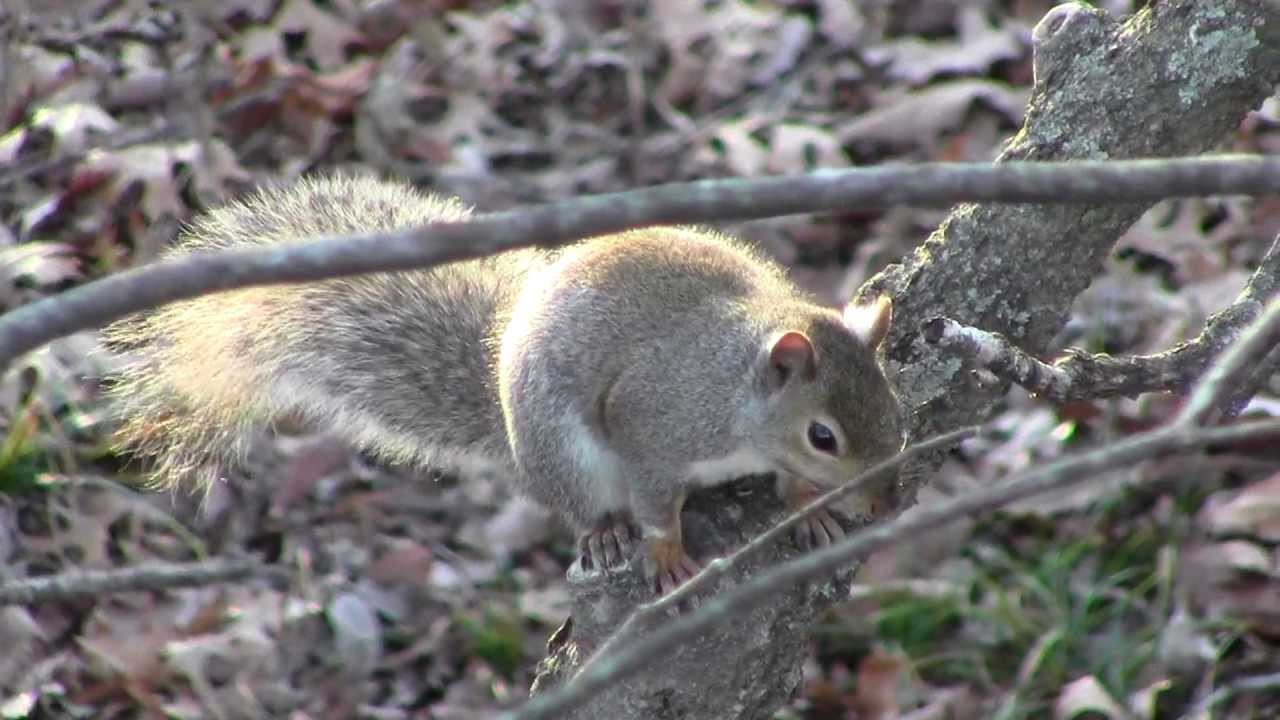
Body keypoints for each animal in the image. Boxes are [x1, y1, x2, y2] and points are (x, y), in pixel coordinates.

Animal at [105, 174, 906, 594]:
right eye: (824, 436)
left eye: (895, 413)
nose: (883, 506)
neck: (739, 397)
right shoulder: (656, 422)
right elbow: (656, 501)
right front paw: (665, 551)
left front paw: (806, 506)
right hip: (564, 453)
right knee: (583, 505)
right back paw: (605, 534)